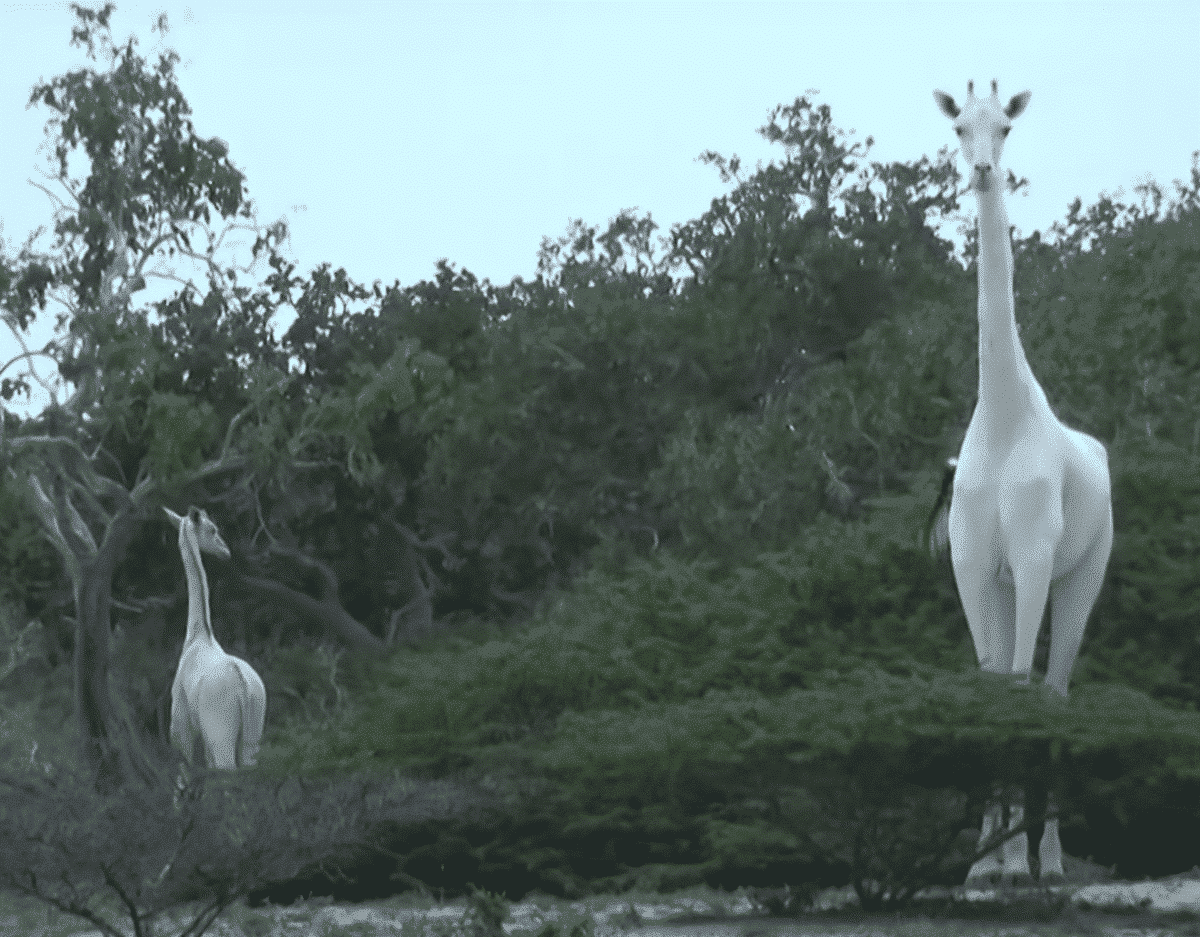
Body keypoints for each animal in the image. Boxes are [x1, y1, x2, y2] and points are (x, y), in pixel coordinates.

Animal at [165, 506, 266, 769]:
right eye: (212, 529)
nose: (225, 552)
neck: (198, 636)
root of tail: (243, 685)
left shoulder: (181, 729)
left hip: (220, 735)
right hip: (252, 736)